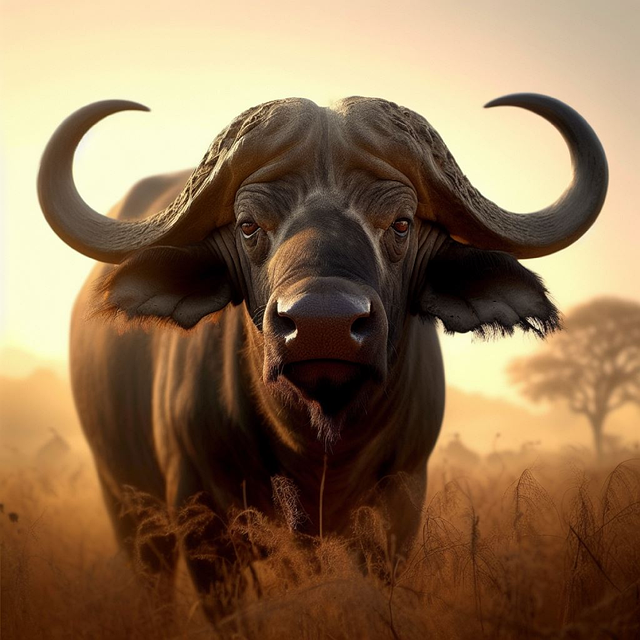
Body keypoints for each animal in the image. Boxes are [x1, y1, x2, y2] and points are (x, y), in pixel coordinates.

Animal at [38, 94, 607, 609]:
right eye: (249, 226)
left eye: (401, 223)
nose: (323, 325)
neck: (319, 450)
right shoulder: (201, 521)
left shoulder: (397, 510)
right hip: (126, 501)